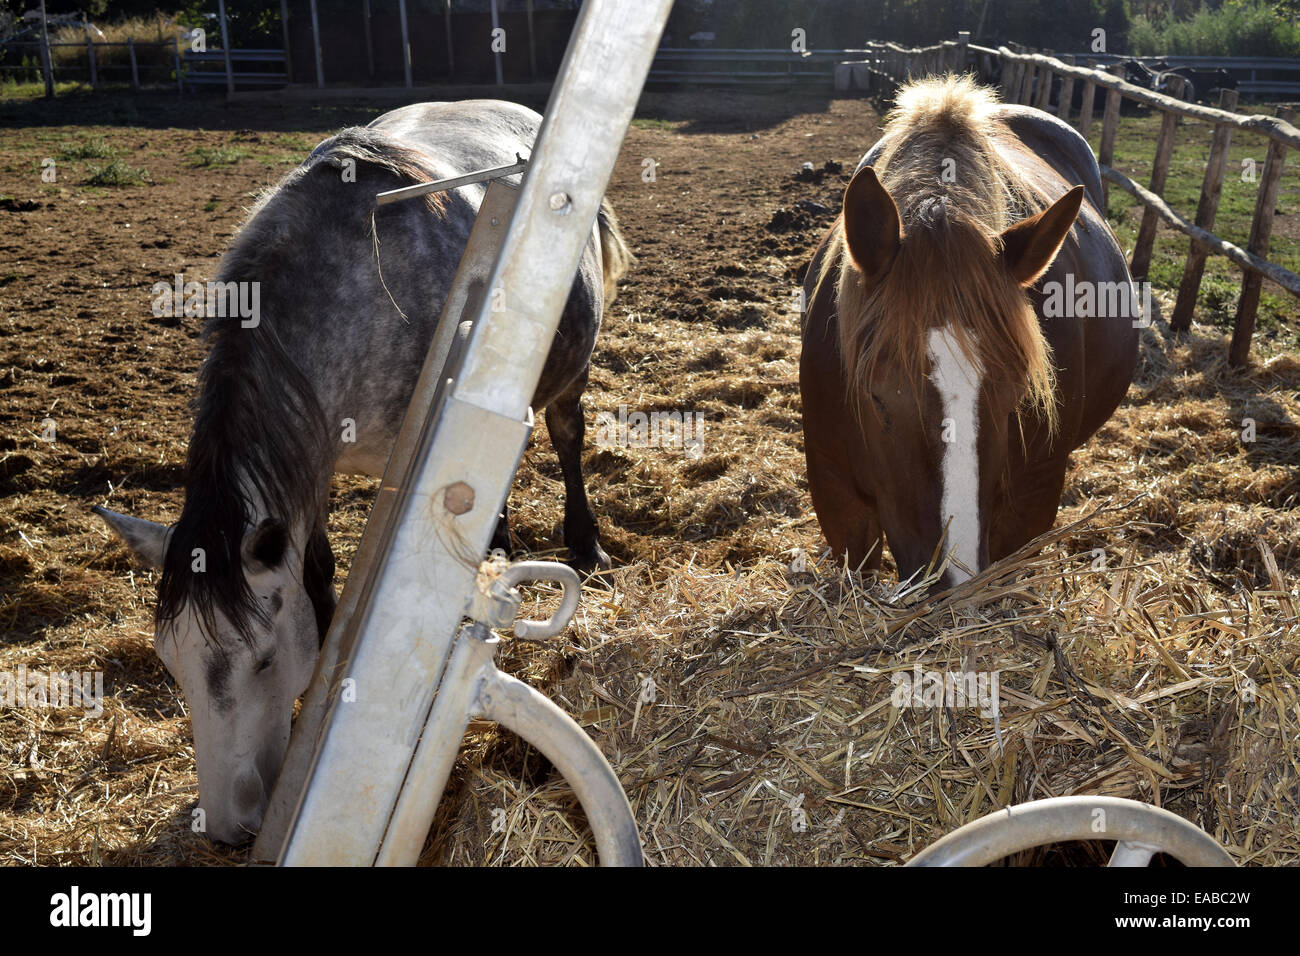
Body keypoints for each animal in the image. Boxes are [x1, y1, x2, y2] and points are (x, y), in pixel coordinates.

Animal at [93, 100, 631, 844]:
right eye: (170, 663)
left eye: (263, 660)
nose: (230, 828)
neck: (348, 293)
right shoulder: (310, 473)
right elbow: (317, 568)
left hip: (568, 373)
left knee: (567, 435)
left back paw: (585, 540)